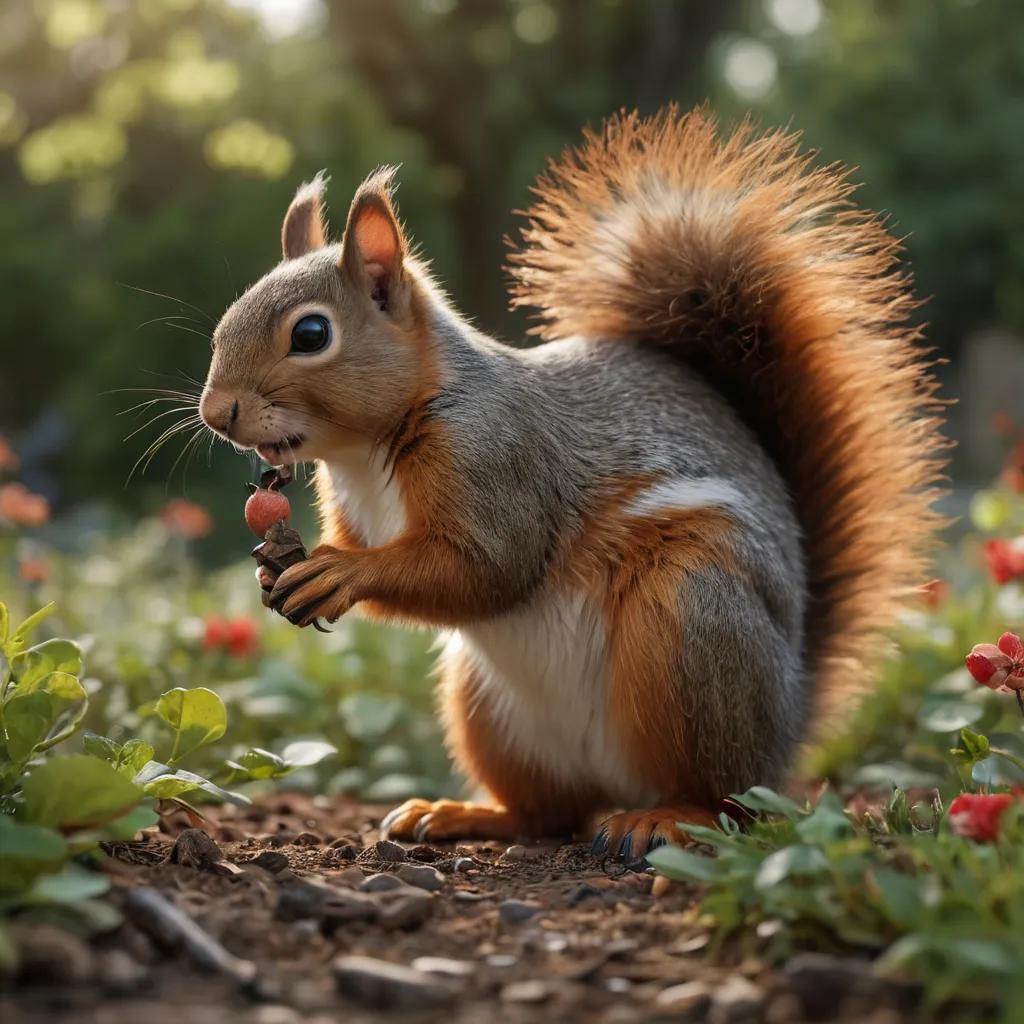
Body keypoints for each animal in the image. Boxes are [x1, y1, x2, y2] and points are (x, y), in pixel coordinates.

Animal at [199, 106, 946, 863]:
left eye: (311, 334)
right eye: (226, 320)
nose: (215, 413)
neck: (368, 451)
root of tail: (790, 726)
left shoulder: (500, 460)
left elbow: (488, 569)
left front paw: (340, 573)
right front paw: (274, 568)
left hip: (692, 623)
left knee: (727, 801)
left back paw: (670, 818)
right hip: (487, 710)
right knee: (548, 814)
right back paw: (462, 814)